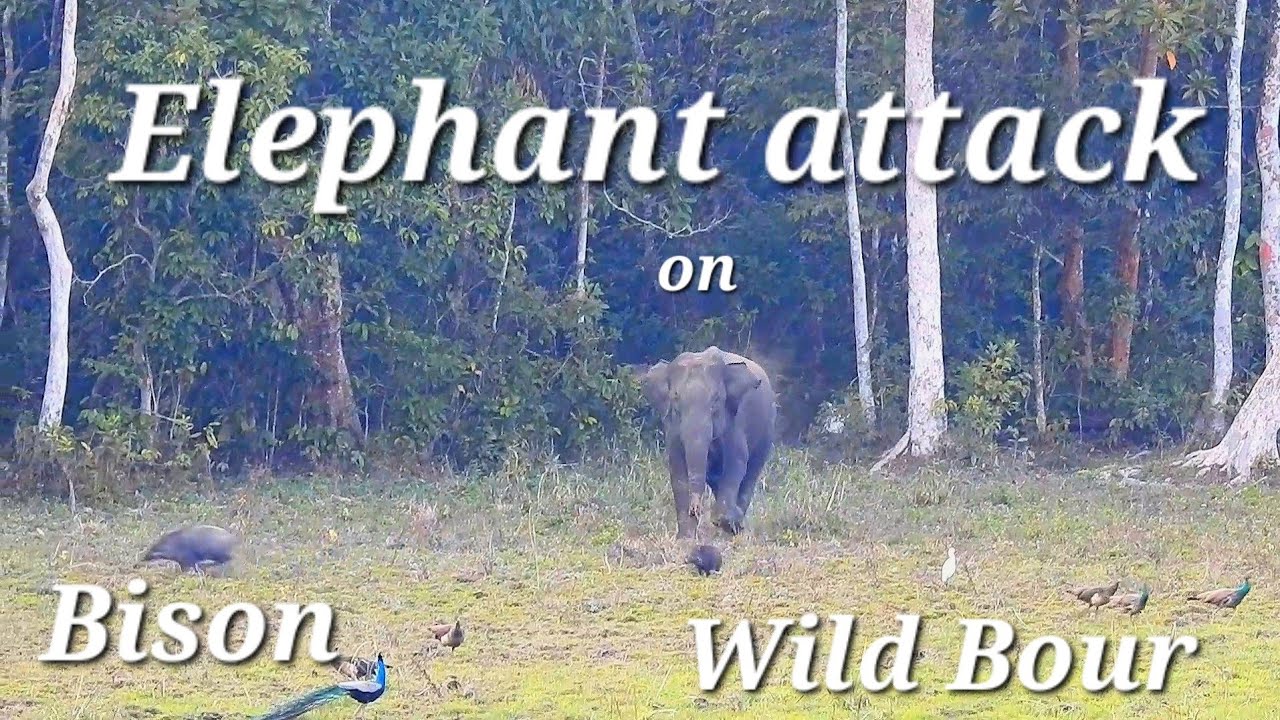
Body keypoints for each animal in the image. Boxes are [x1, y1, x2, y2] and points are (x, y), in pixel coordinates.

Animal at [637, 346, 777, 538]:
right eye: (675, 397)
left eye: (716, 399)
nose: (696, 509)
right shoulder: (672, 429)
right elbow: (677, 469)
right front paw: (685, 538)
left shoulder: (734, 421)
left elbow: (736, 462)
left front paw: (723, 520)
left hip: (766, 432)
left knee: (750, 474)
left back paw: (735, 523)